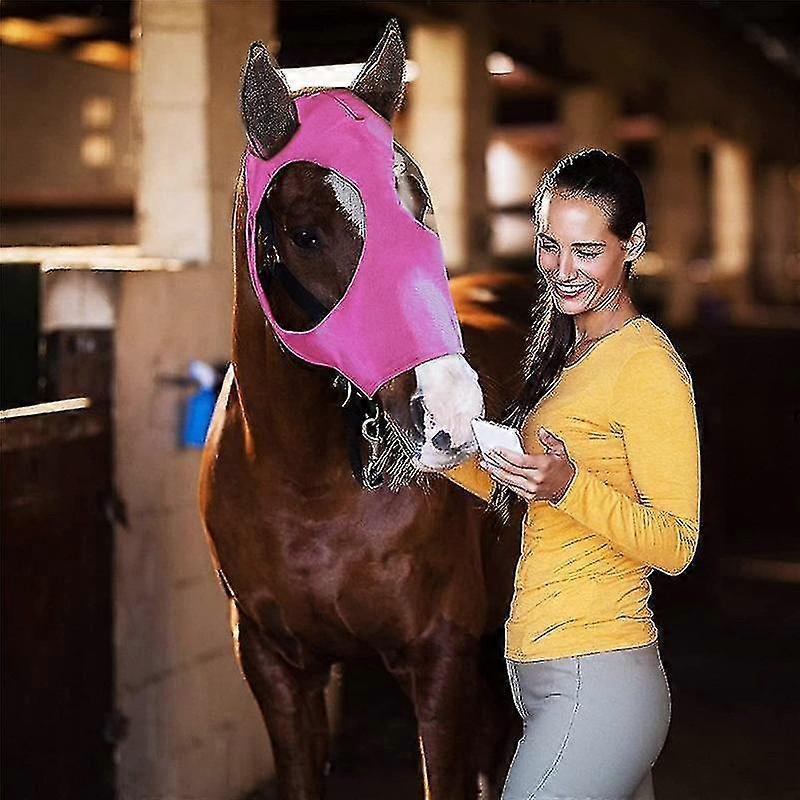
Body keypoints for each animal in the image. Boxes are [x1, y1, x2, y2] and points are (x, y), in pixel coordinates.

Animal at [199, 21, 533, 799]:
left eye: (421, 209)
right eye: (306, 234)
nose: (448, 414)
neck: (307, 486)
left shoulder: (440, 660)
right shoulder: (275, 664)